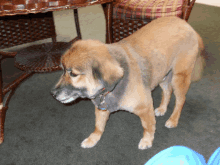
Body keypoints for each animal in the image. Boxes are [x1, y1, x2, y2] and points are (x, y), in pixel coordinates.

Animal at [51, 16, 205, 150]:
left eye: (73, 74)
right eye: (62, 69)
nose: (52, 93)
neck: (112, 87)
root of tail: (187, 26)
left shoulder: (145, 107)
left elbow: (148, 127)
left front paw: (147, 140)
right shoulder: (101, 109)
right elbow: (98, 127)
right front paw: (93, 139)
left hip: (179, 77)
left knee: (180, 100)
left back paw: (173, 120)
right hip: (163, 75)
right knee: (167, 92)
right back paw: (162, 109)